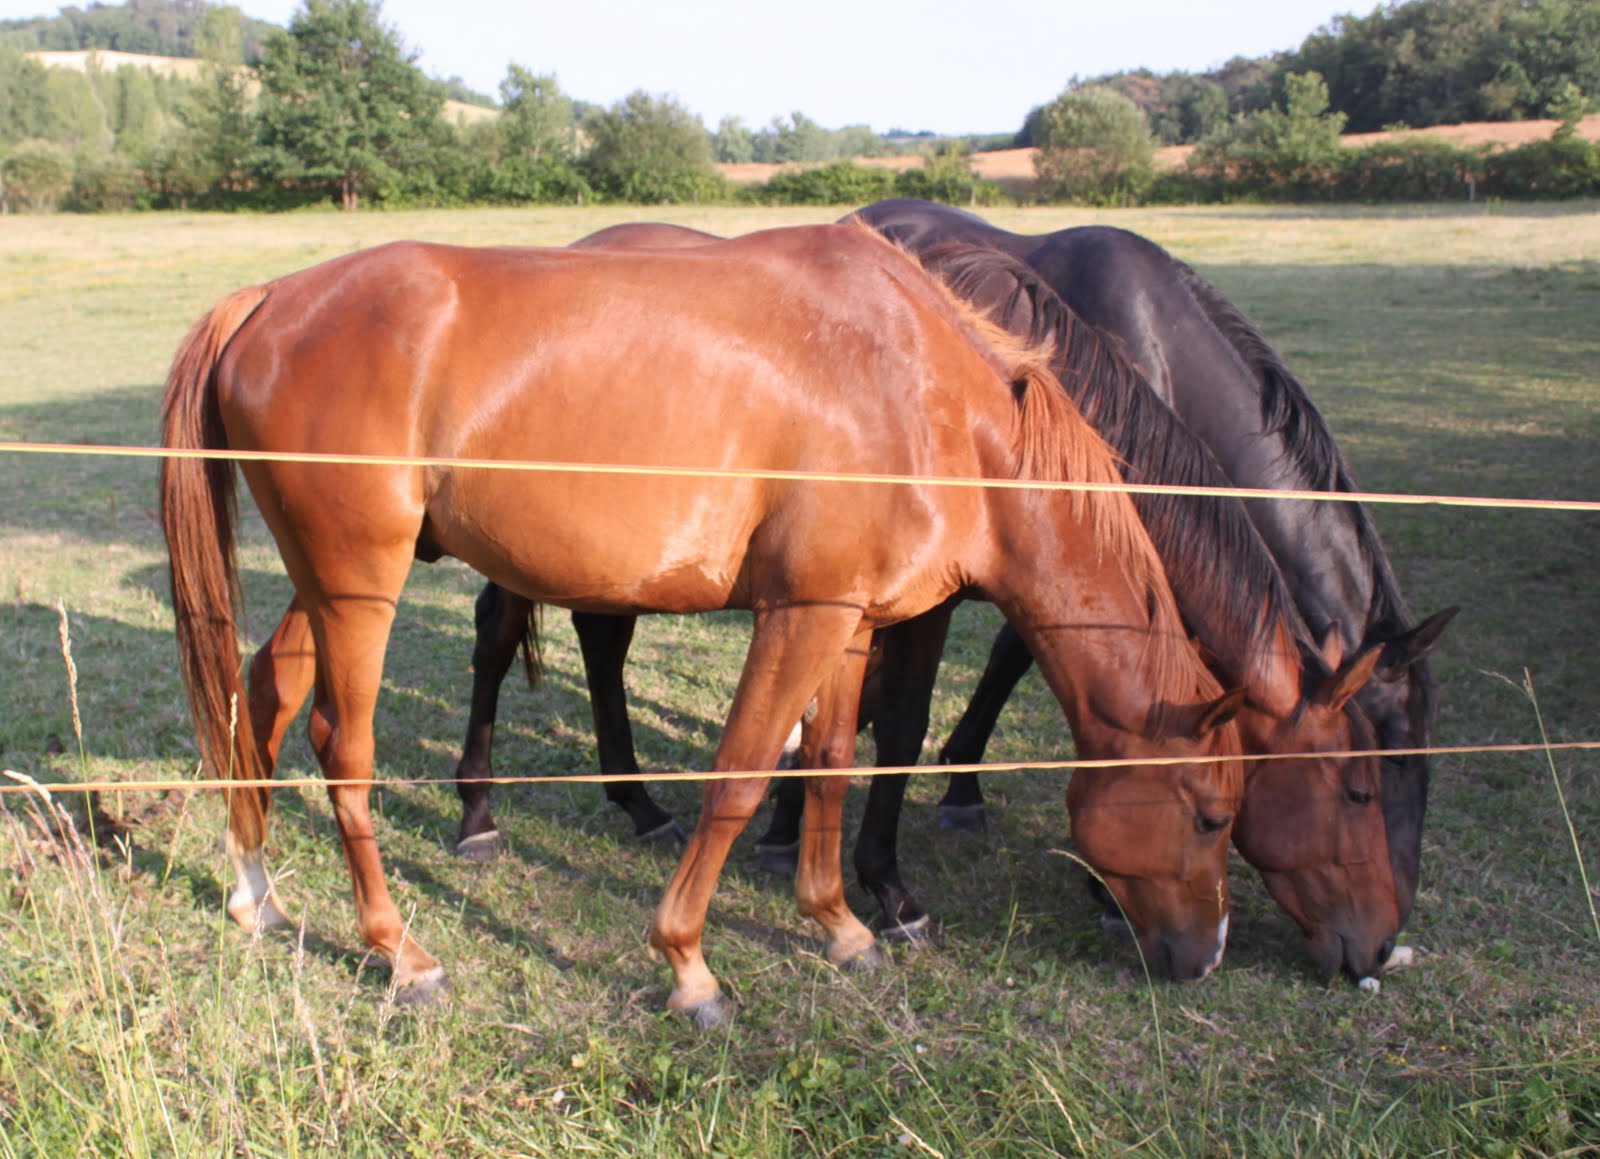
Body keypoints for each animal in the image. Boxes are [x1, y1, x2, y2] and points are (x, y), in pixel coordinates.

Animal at [161, 223, 1245, 1024]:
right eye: (1210, 814)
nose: (1203, 959)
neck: (924, 397)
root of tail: (270, 300)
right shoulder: (798, 614)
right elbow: (742, 775)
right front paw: (688, 966)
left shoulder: (849, 620)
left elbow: (829, 768)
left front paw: (839, 924)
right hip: (361, 586)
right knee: (340, 747)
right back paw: (401, 953)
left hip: (329, 585)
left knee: (258, 699)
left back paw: (256, 895)